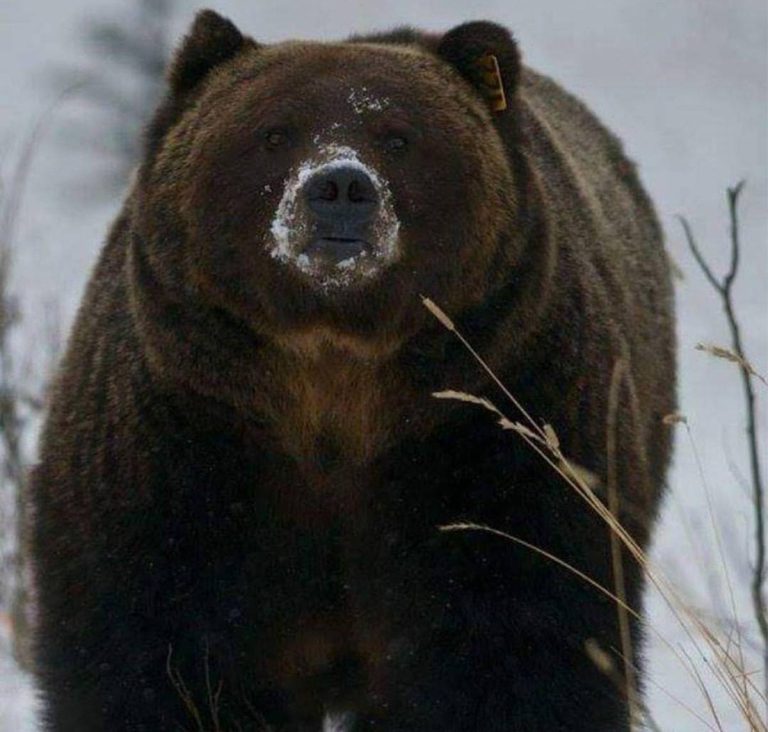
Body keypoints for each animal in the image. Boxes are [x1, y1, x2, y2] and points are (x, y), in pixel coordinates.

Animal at [29, 9, 676, 732]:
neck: (332, 379)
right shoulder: (180, 454)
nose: (340, 186)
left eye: (398, 136)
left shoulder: (498, 439)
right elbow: (157, 661)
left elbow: (517, 655)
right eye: (273, 132)